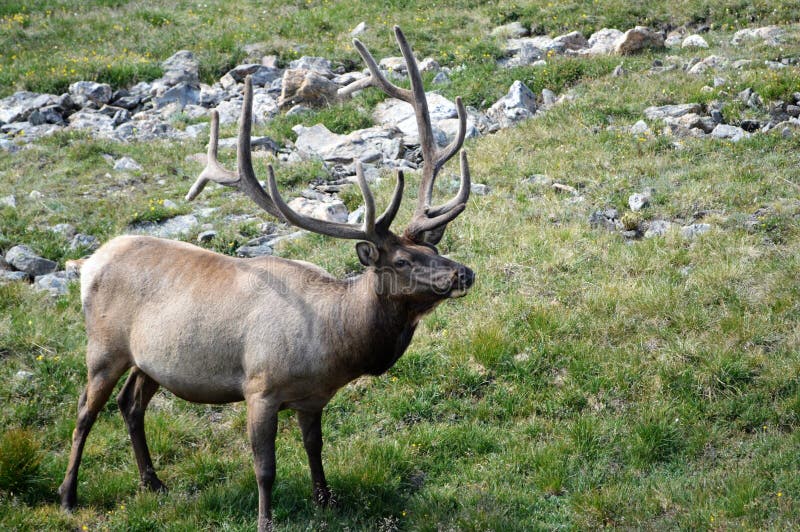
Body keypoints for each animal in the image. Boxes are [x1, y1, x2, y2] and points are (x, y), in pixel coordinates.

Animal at [59, 26, 474, 531]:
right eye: (399, 261)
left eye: (431, 249)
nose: (463, 272)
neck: (335, 344)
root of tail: (88, 263)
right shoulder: (260, 386)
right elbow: (265, 466)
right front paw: (265, 520)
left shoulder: (314, 398)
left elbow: (315, 448)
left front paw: (326, 501)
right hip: (104, 345)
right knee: (85, 411)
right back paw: (68, 495)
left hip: (149, 359)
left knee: (130, 404)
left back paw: (152, 483)